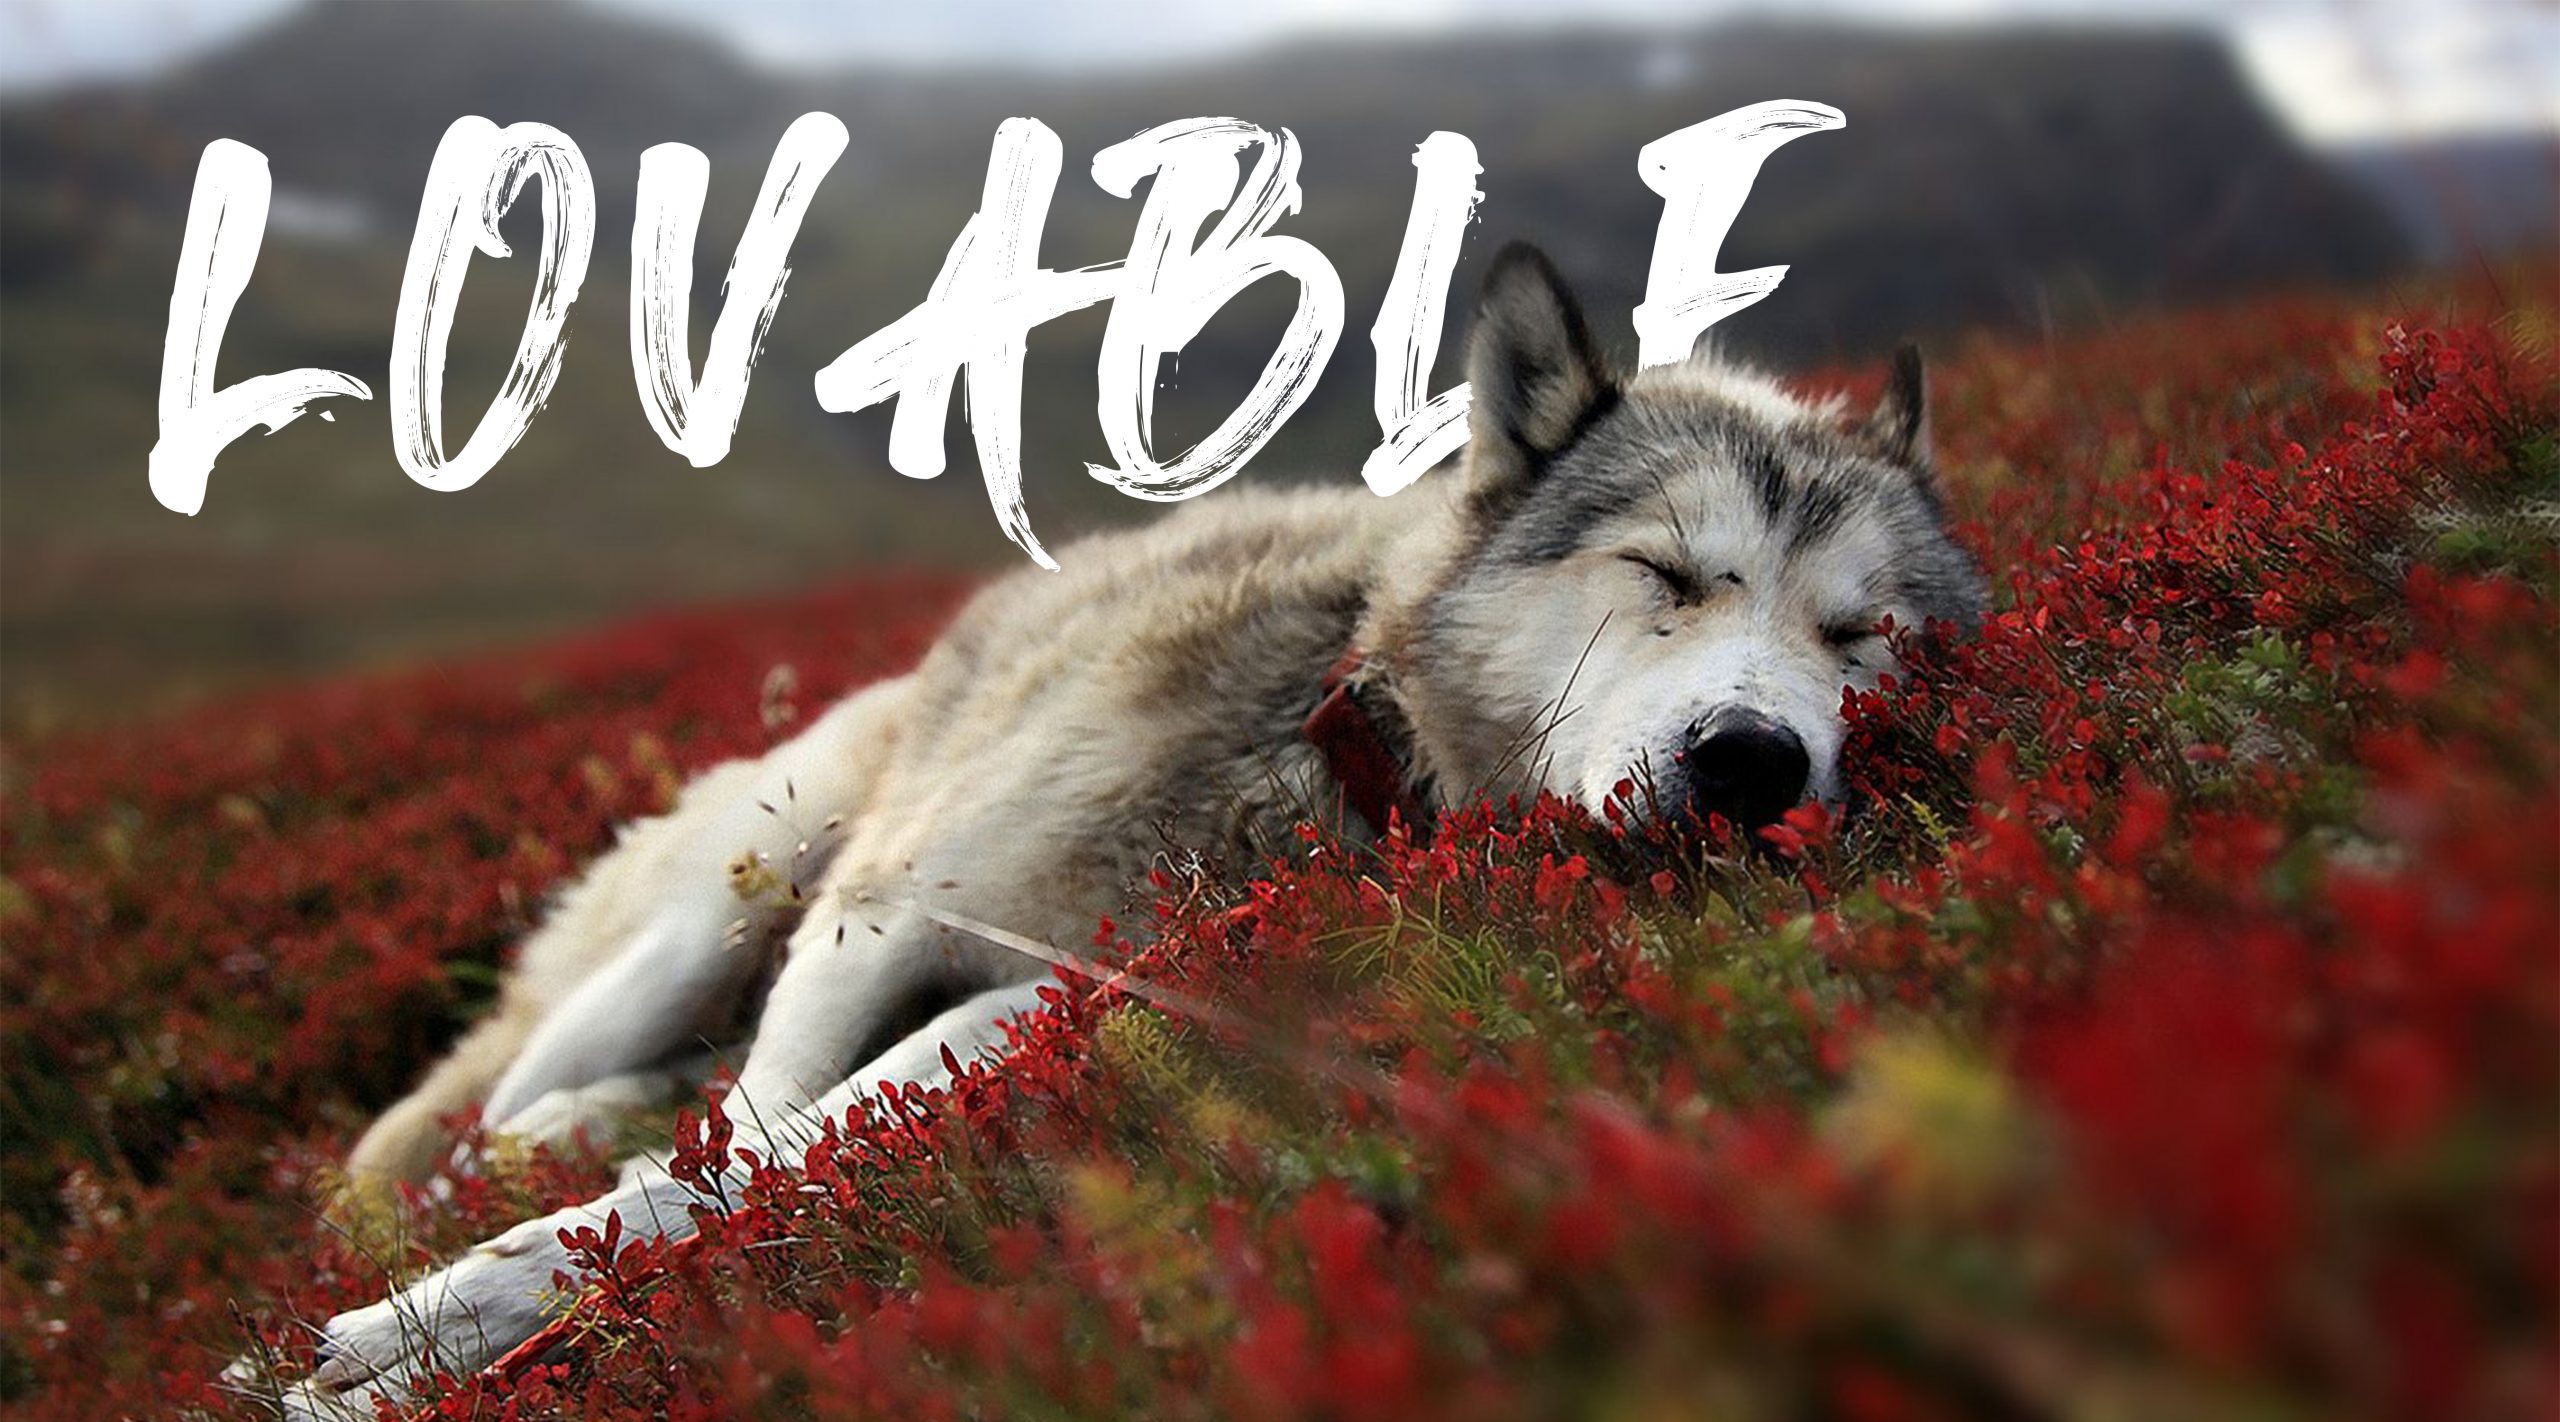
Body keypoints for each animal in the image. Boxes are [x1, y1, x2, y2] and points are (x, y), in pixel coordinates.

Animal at [250, 243, 1982, 1415]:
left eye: (1863, 638)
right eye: (1665, 573)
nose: (1753, 761)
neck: (1325, 745)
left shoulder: (1061, 992)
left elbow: (765, 1159)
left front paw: (443, 1337)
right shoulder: (878, 914)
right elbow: (745, 1141)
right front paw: (441, 1321)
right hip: (733, 898)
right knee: (470, 1114)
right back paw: (487, 1160)